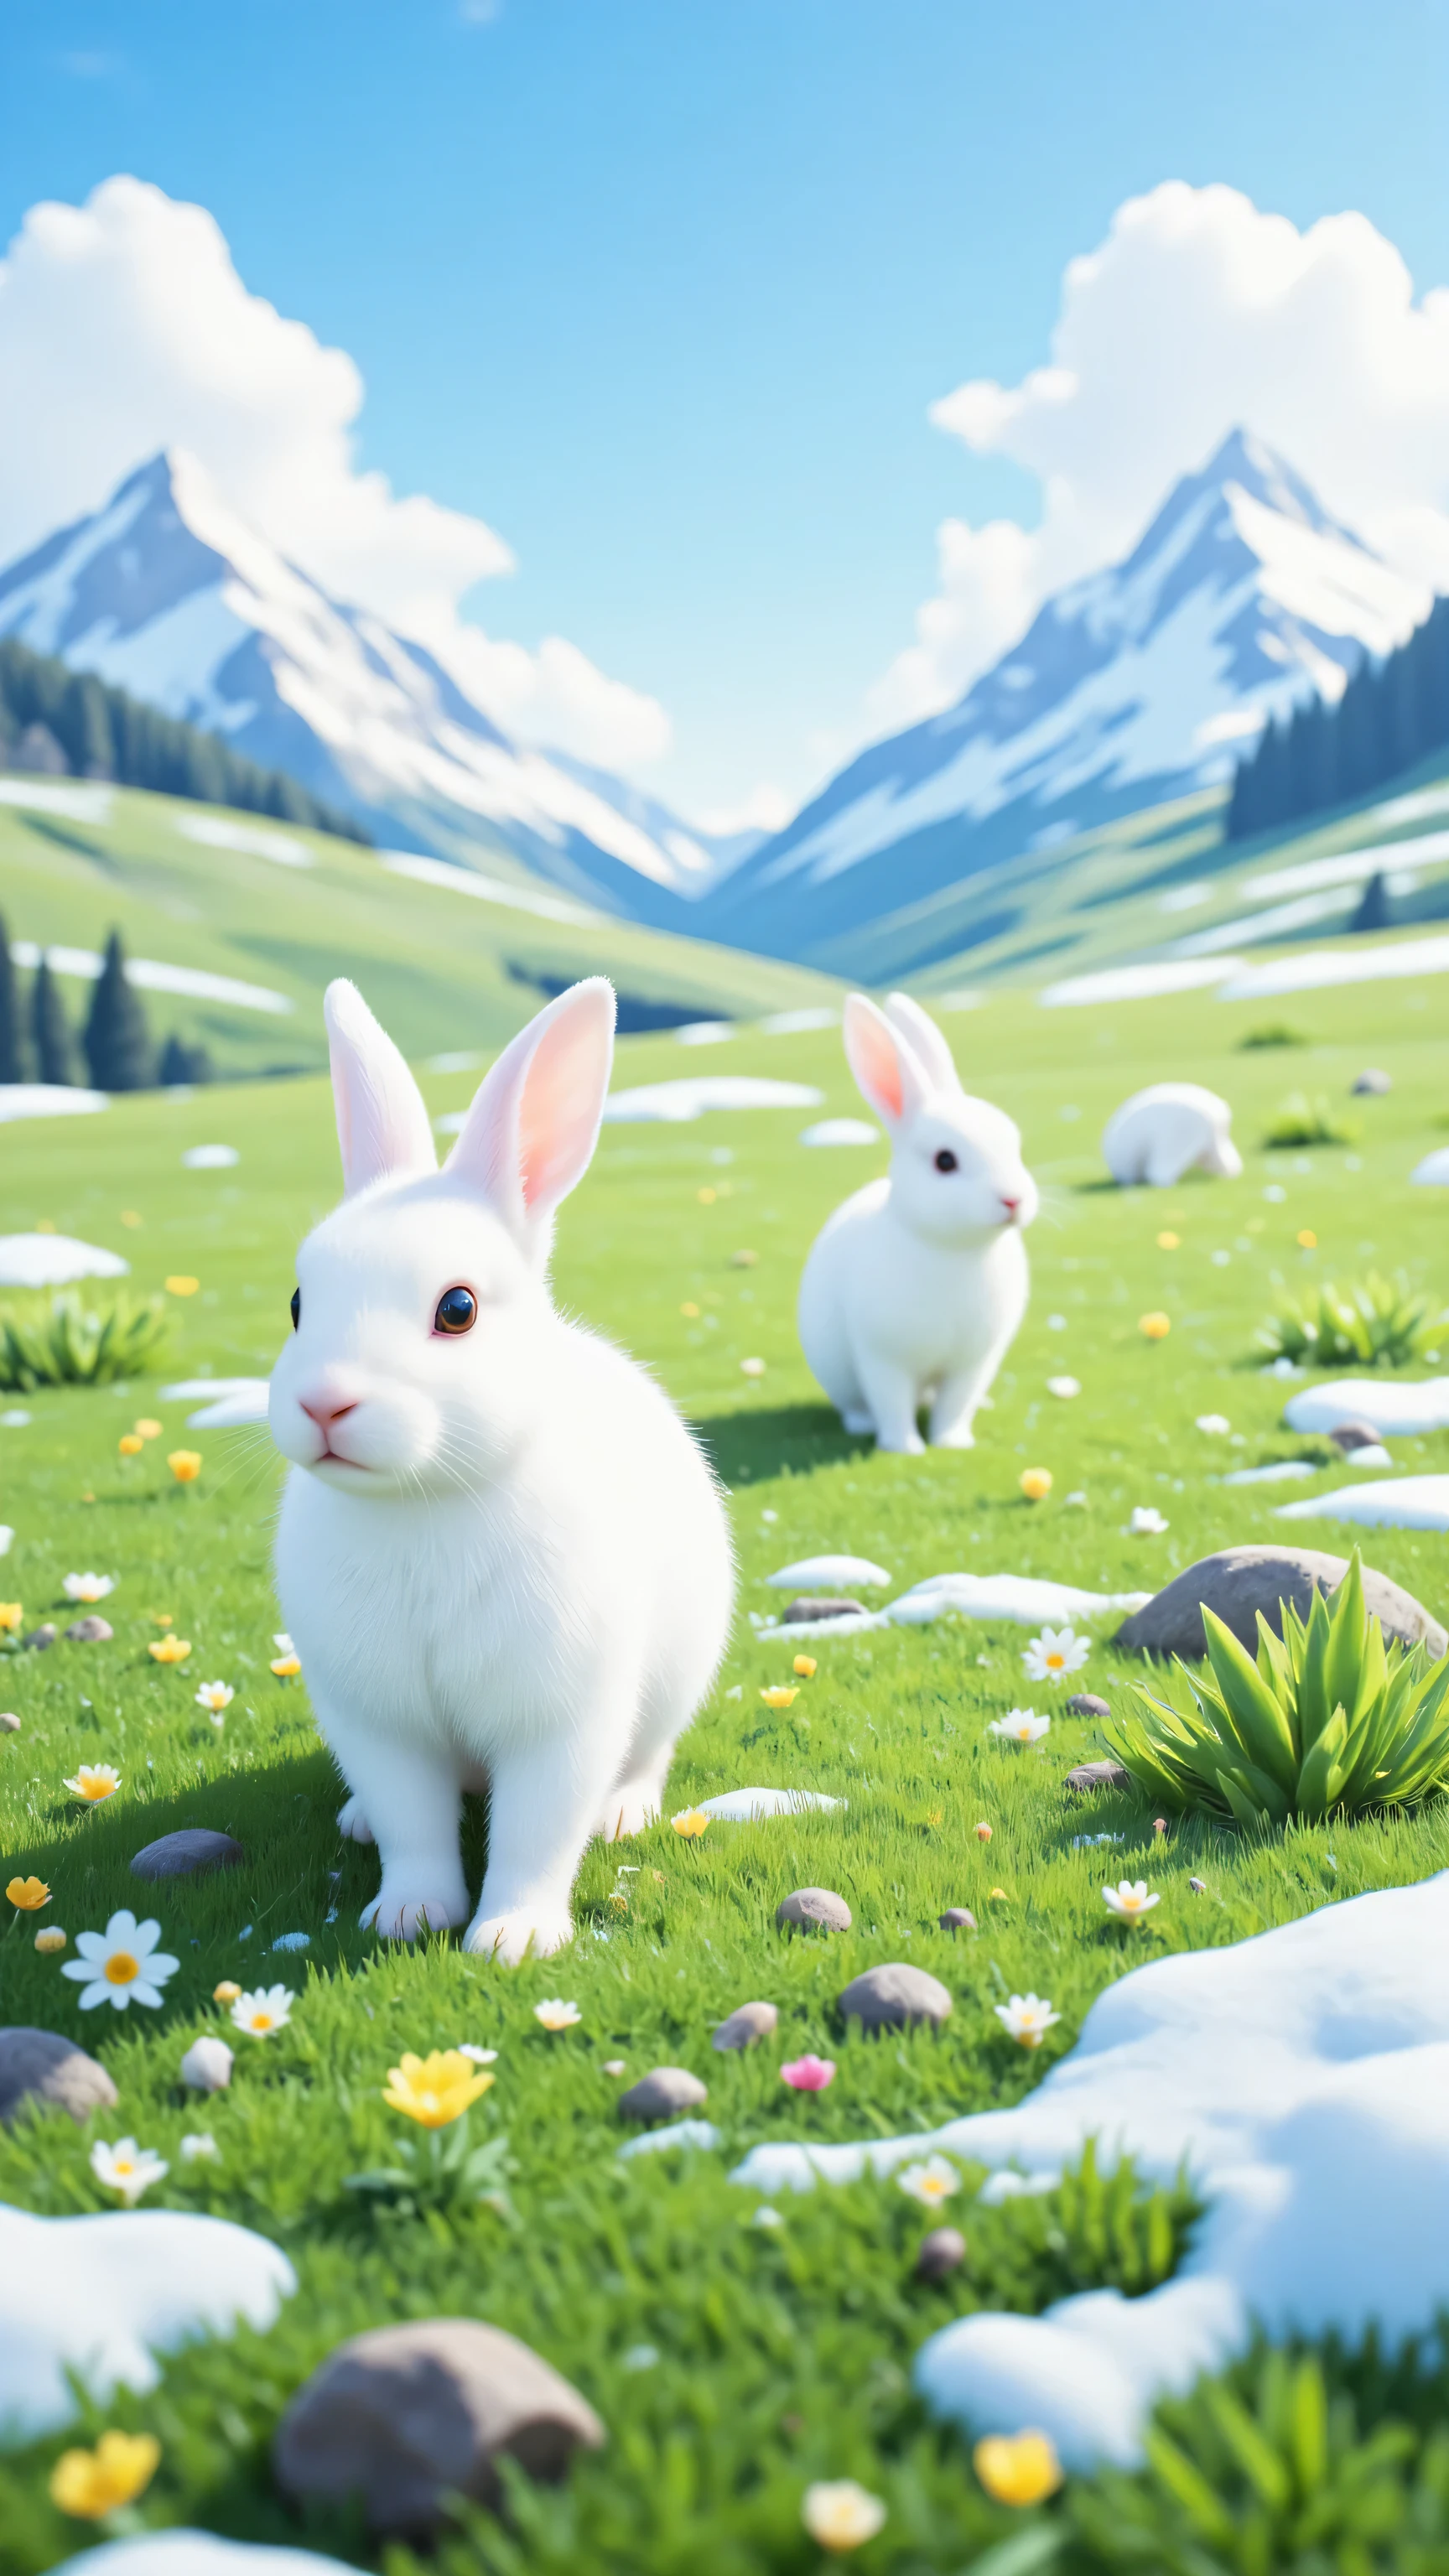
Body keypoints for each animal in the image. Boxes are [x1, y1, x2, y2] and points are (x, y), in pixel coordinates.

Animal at [268, 975, 734, 1963]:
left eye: (458, 1309)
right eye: (296, 1303)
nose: (324, 1405)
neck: (428, 1496)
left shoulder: (561, 1720)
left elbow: (536, 1831)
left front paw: (513, 1939)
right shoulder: (381, 1722)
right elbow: (413, 1824)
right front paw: (408, 1914)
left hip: (673, 1682)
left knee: (647, 1758)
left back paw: (624, 1814)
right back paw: (356, 1820)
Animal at [797, 991, 1038, 1453]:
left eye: (1015, 1145)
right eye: (945, 1161)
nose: (1013, 1199)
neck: (953, 1251)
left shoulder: (974, 1362)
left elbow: (956, 1405)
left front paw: (952, 1443)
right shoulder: (881, 1358)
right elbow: (891, 1404)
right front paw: (904, 1448)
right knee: (858, 1405)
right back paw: (861, 1425)